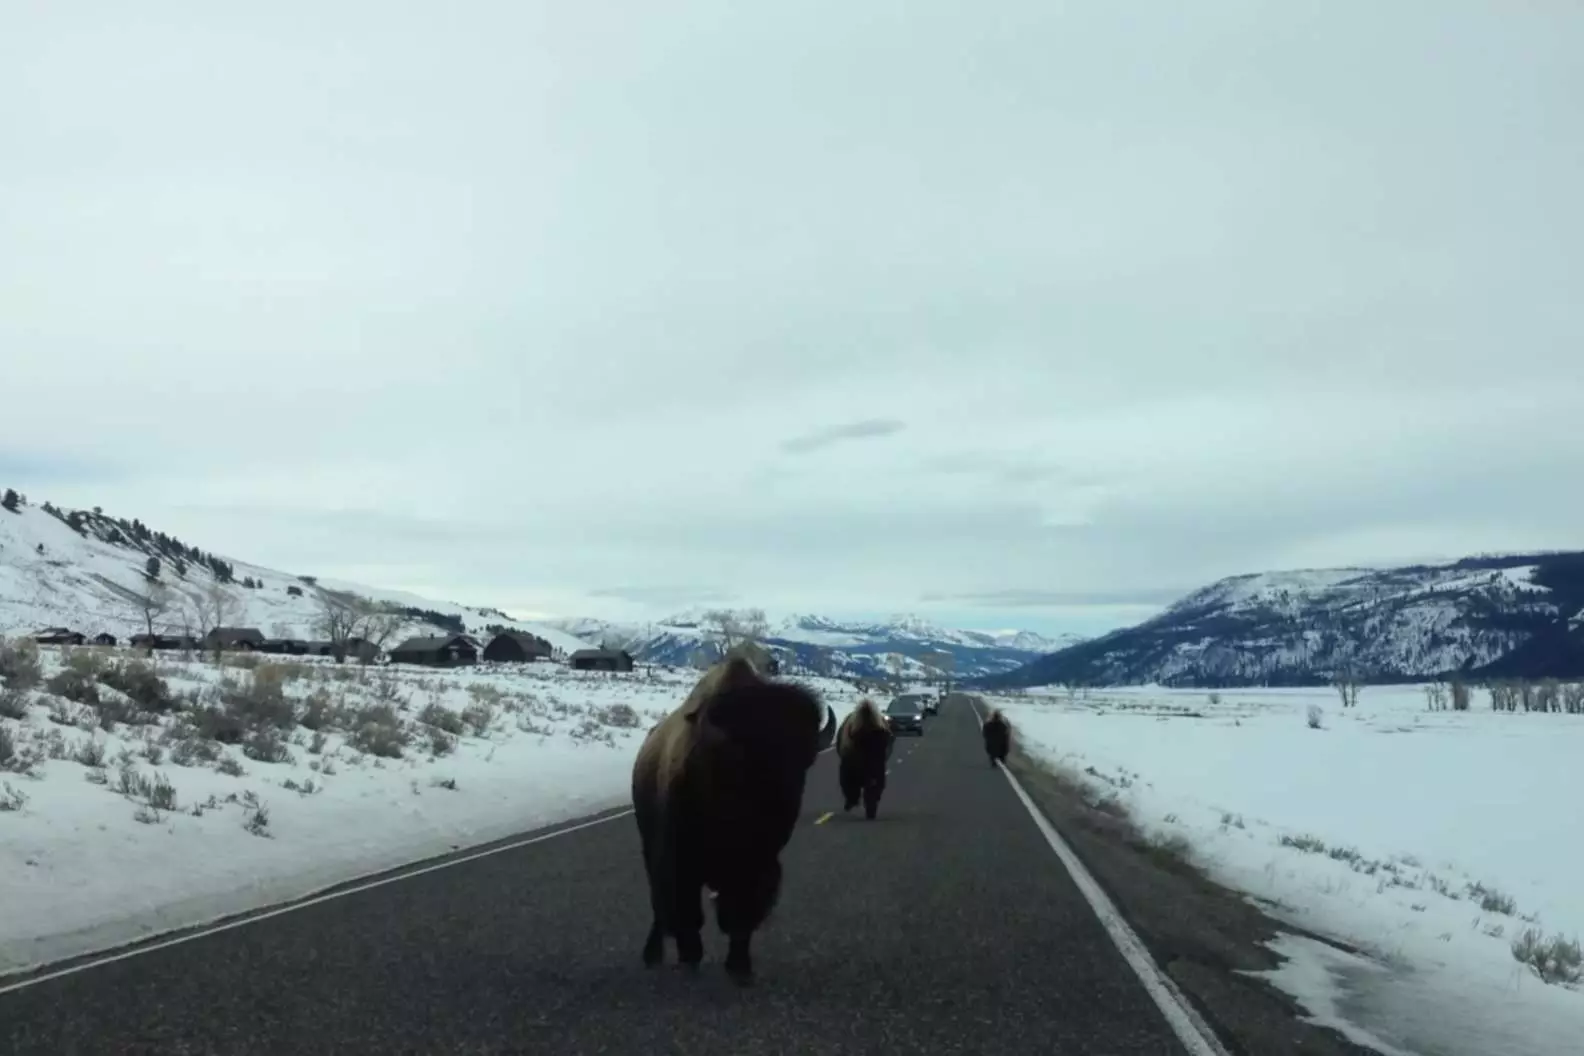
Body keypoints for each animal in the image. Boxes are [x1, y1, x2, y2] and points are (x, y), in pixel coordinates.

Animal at [630, 655, 830, 987]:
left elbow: (741, 912)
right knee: (660, 904)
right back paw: (653, 956)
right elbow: (687, 912)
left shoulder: (755, 866)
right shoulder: (680, 859)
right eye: (747, 758)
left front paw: (740, 967)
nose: (781, 806)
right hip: (650, 847)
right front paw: (690, 959)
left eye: (805, 759)